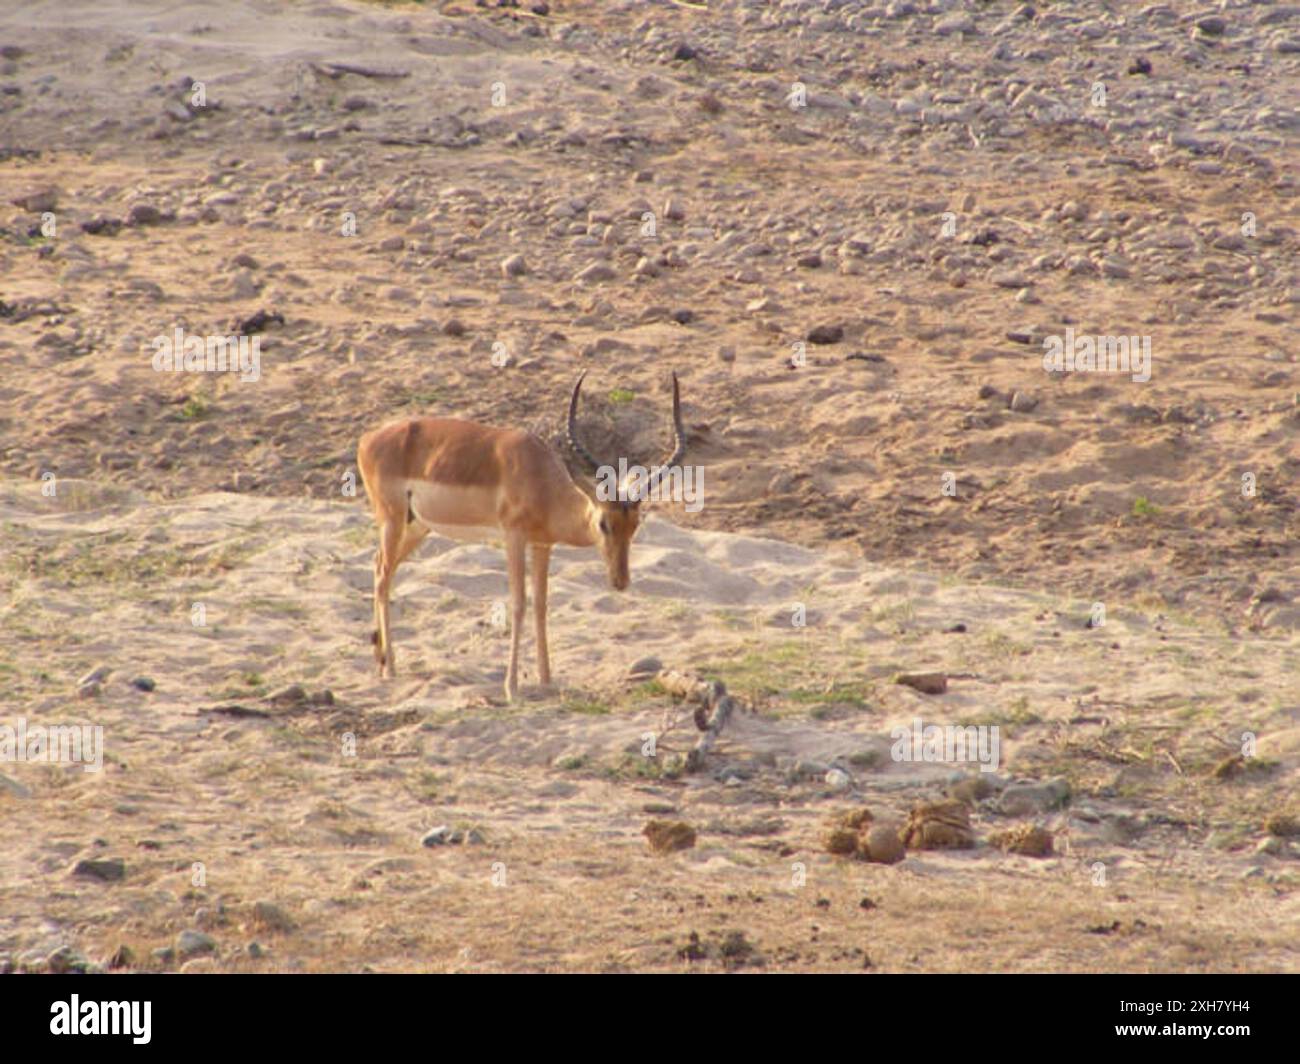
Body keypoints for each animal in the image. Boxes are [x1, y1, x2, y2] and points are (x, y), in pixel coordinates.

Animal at [356, 372, 687, 700]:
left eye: (635, 524)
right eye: (604, 523)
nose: (620, 581)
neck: (540, 479)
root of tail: (367, 439)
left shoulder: (542, 544)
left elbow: (541, 605)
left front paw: (546, 679)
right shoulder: (513, 537)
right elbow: (518, 604)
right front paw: (512, 688)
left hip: (417, 526)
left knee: (378, 566)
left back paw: (380, 659)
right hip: (393, 520)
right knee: (383, 574)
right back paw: (390, 669)